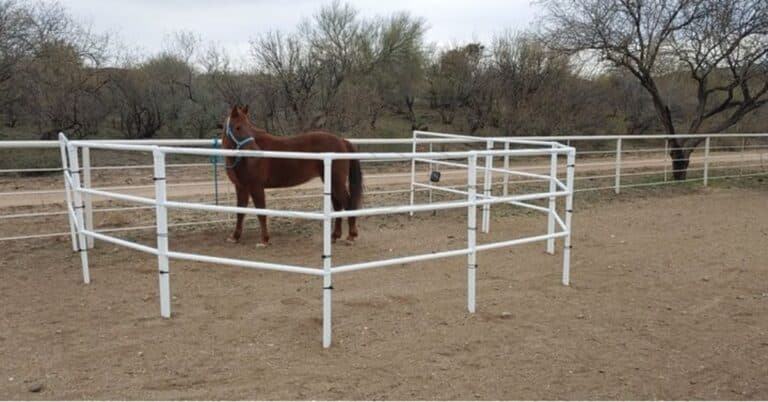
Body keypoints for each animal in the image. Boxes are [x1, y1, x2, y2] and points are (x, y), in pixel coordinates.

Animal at [221, 105, 363, 246]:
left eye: (249, 126)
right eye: (238, 127)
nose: (256, 152)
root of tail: (342, 141)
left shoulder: (256, 187)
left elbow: (261, 212)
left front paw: (264, 240)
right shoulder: (241, 187)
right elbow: (240, 211)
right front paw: (235, 237)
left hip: (336, 182)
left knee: (348, 204)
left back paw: (351, 236)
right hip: (330, 181)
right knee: (338, 206)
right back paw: (335, 236)